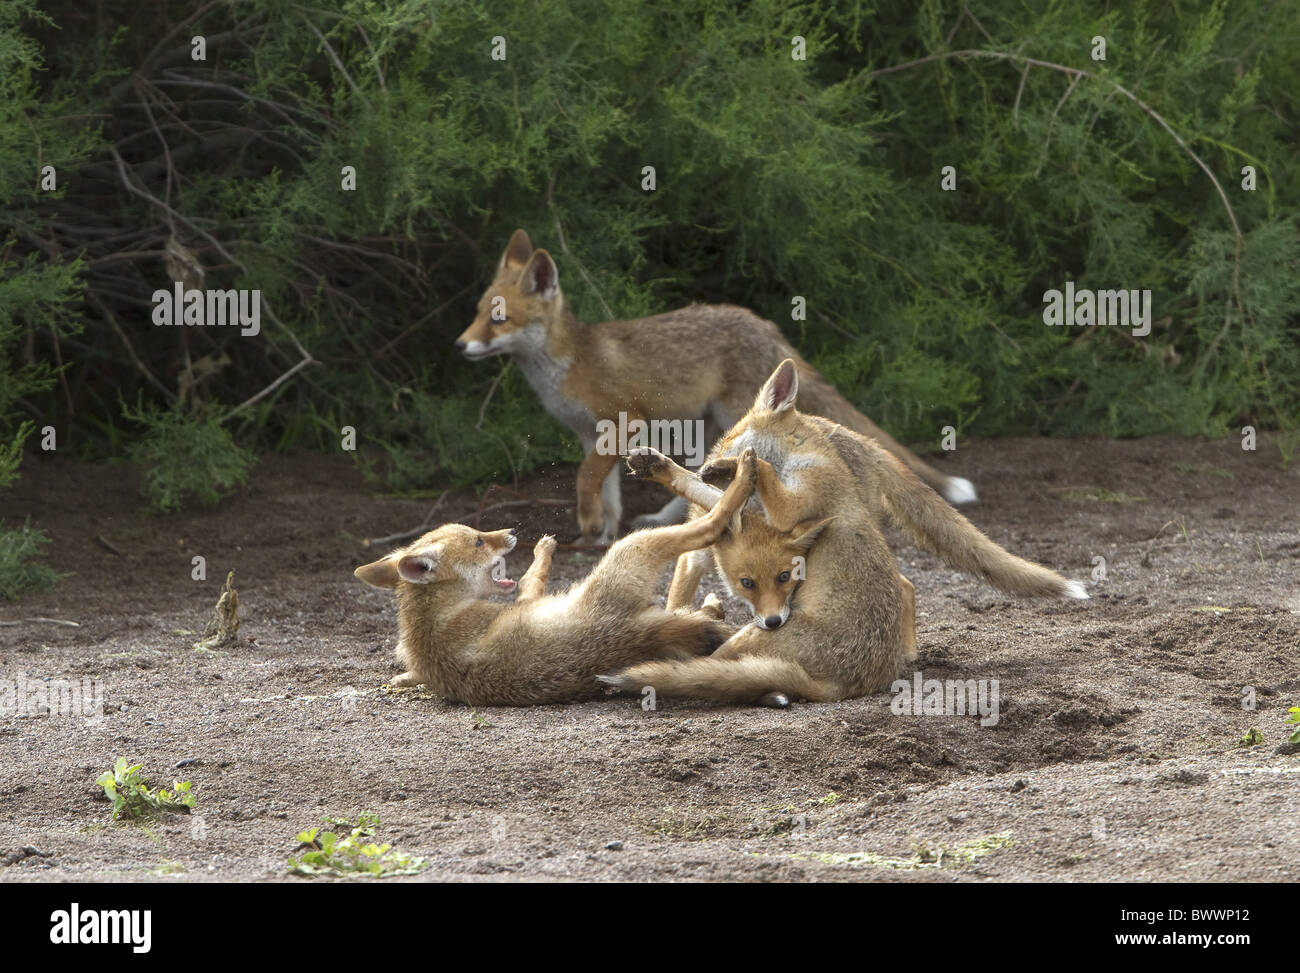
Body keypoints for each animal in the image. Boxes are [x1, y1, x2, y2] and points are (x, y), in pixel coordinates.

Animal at [352, 447, 759, 706]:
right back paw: (743, 475)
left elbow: (529, 579)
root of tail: (627, 636)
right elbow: (530, 582)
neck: (430, 619)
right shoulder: (521, 603)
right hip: (635, 545)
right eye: (479, 540)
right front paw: (544, 550)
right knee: (714, 523)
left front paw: (542, 550)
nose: (512, 532)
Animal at [455, 229, 977, 544]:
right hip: (708, 423)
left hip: (727, 419)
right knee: (695, 475)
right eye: (479, 312)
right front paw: (600, 533)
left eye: (499, 320)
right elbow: (606, 491)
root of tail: (761, 323)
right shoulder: (590, 434)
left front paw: (589, 526)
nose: (460, 345)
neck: (568, 362)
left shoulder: (624, 420)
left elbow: (585, 479)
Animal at [600, 359, 1087, 707]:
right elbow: (721, 498)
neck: (808, 455)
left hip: (769, 625)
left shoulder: (788, 511)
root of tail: (867, 442)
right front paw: (672, 469)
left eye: (730, 435)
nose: (707, 461)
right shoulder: (755, 522)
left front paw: (730, 467)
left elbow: (757, 473)